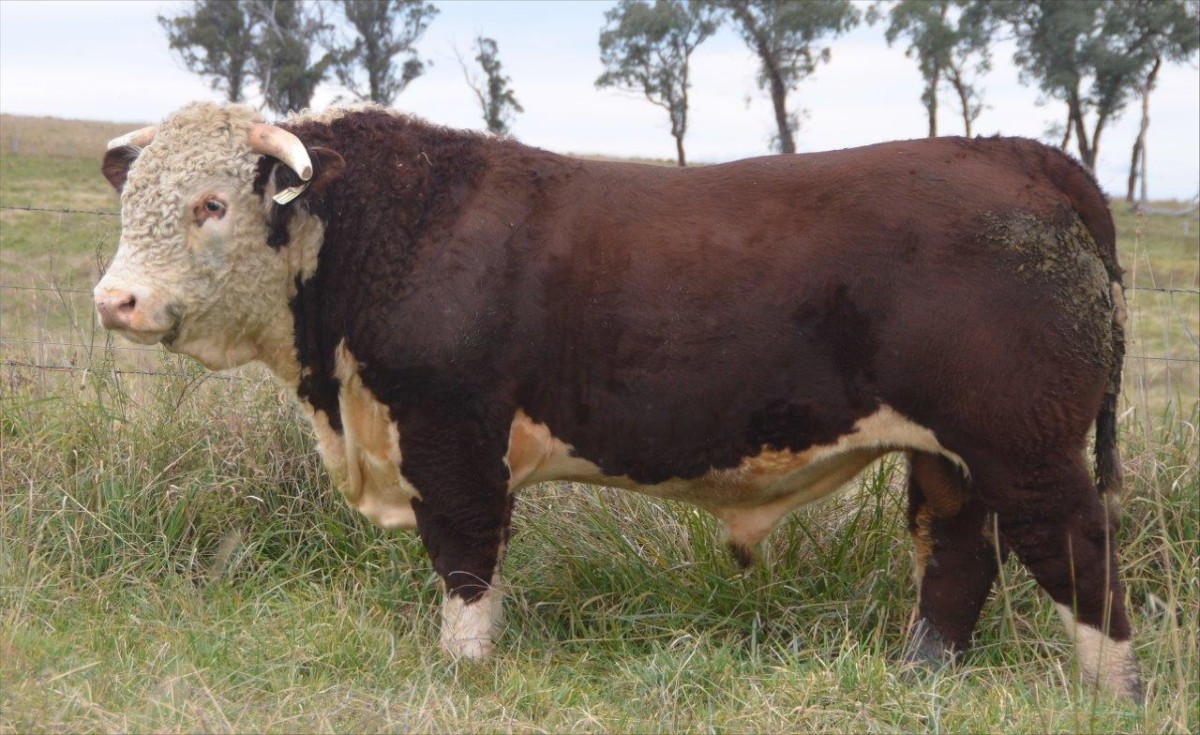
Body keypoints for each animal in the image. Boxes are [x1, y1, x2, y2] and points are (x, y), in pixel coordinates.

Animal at [96, 102, 1139, 699]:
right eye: (132, 199)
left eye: (212, 204)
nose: (116, 300)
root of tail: (1016, 154)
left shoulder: (450, 433)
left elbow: (465, 560)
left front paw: (465, 671)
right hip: (953, 452)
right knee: (957, 551)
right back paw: (921, 679)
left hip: (1028, 445)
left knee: (1079, 554)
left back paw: (1111, 694)